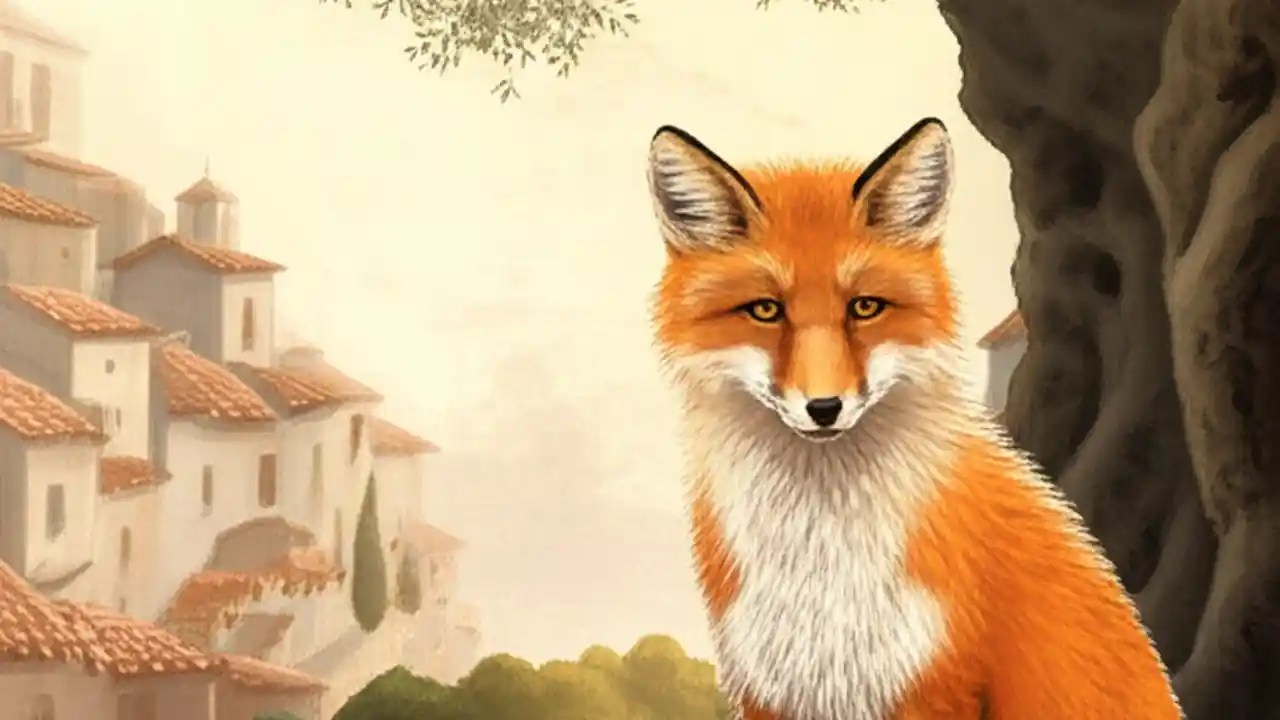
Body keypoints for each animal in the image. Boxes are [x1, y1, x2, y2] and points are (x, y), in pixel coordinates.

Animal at [644, 118, 1182, 720]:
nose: (824, 408)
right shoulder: (769, 689)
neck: (821, 559)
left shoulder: (938, 685)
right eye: (765, 310)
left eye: (864, 307)